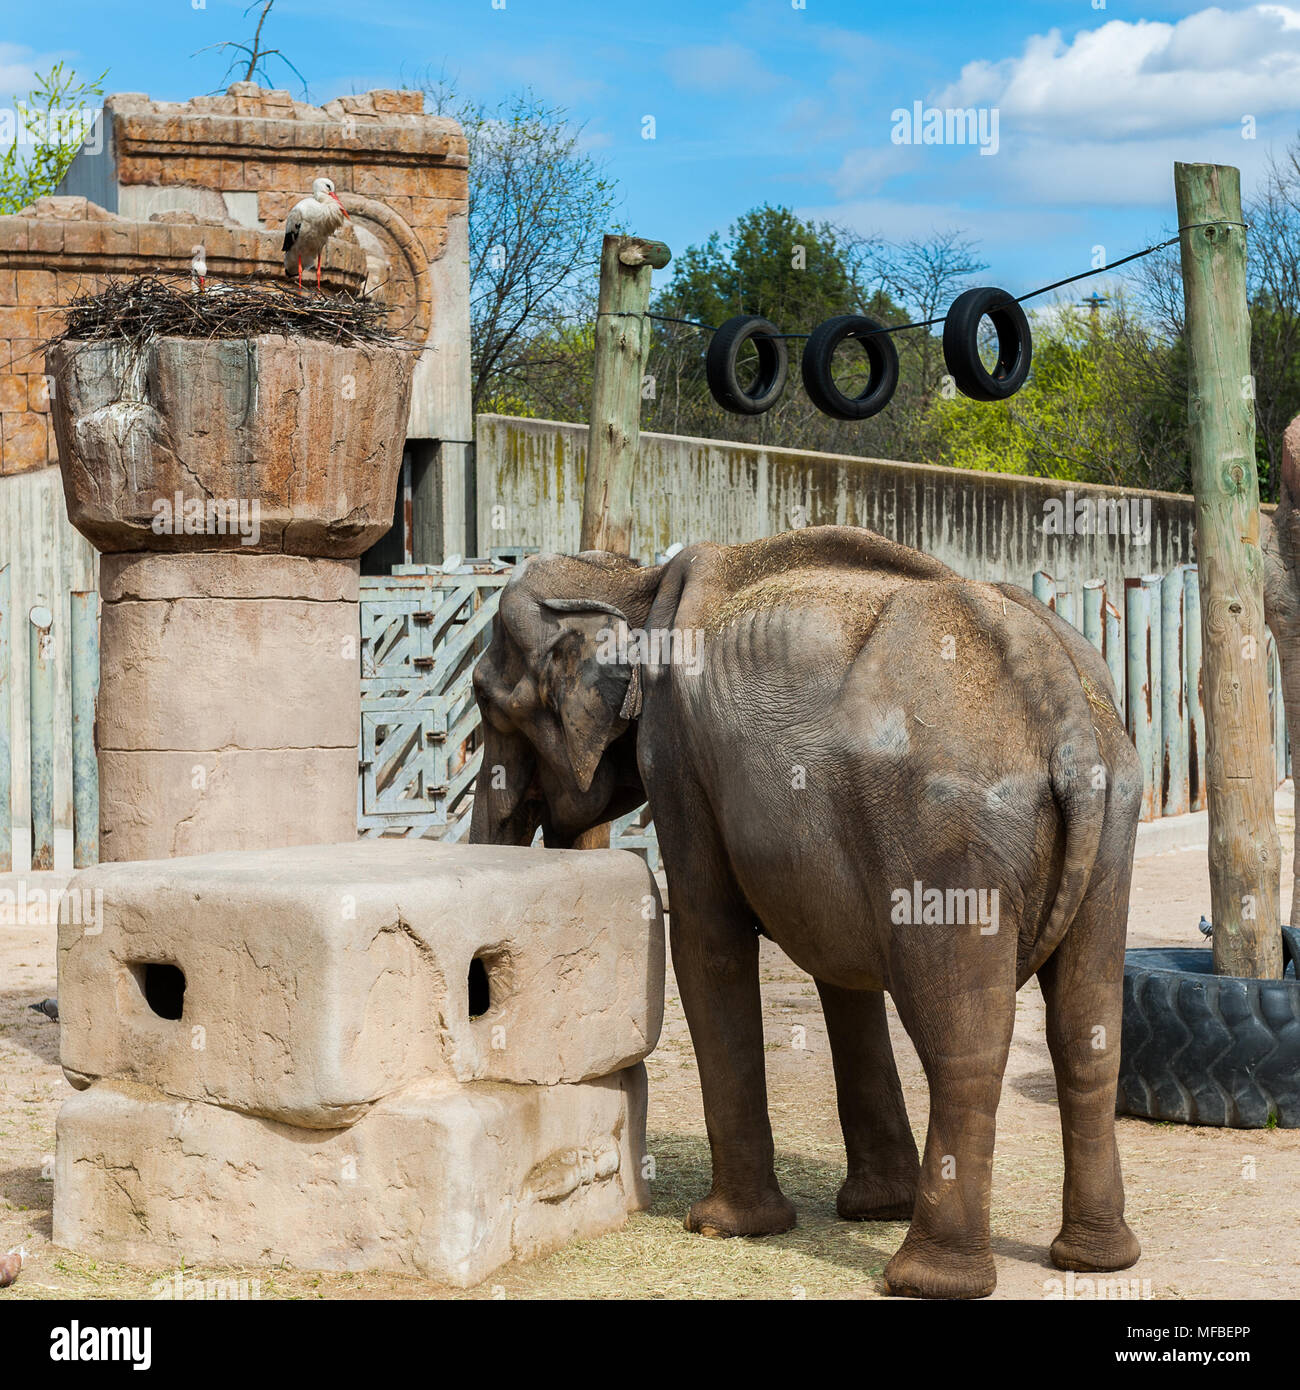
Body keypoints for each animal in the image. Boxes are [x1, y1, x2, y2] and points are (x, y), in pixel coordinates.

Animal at [469, 524, 1144, 1299]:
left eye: (486, 704)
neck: (632, 580)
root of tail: (1062, 703)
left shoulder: (677, 756)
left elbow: (706, 940)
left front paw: (723, 1227)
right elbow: (838, 963)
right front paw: (875, 1206)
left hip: (948, 835)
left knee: (965, 1039)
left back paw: (926, 1279)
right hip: (1112, 819)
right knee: (1087, 1026)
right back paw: (1095, 1258)